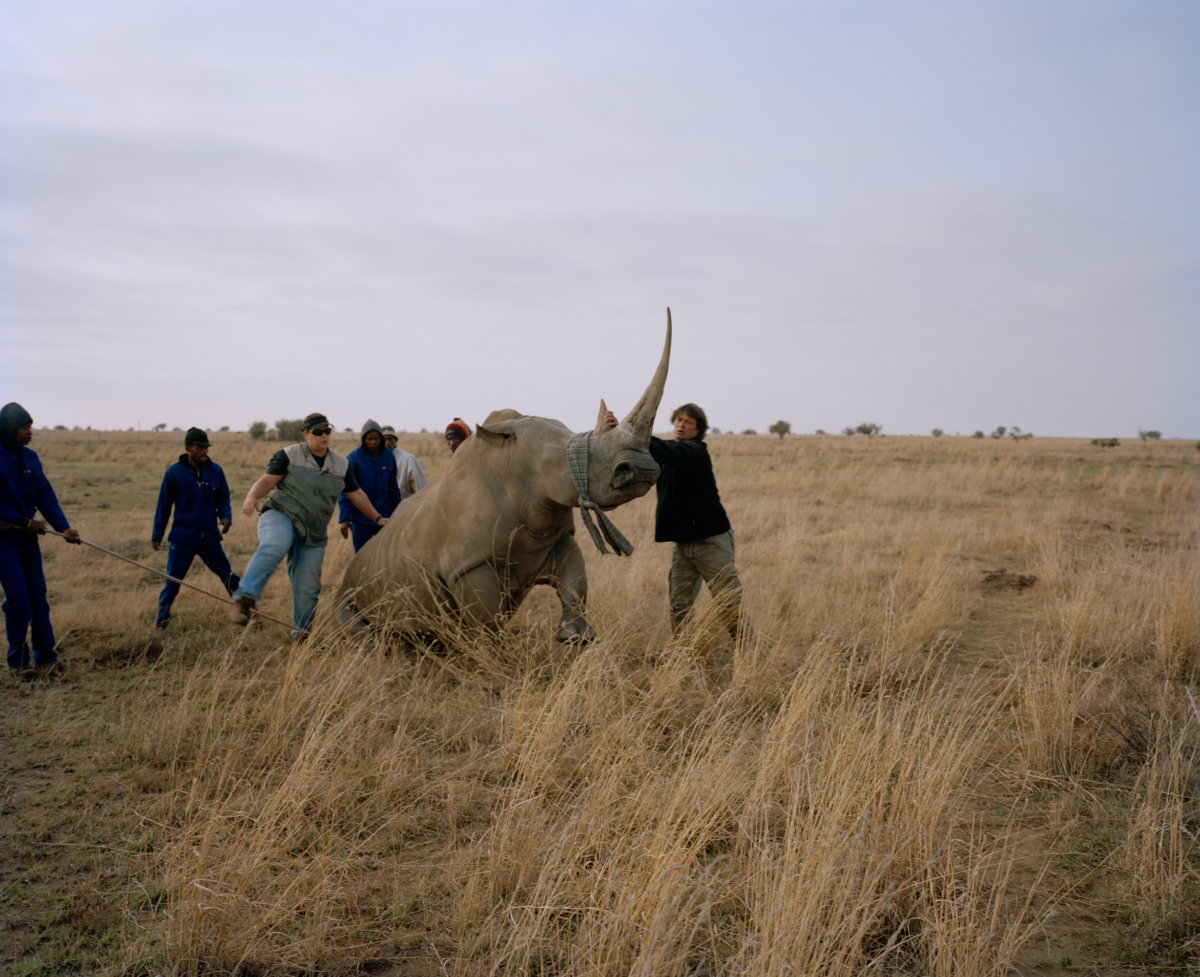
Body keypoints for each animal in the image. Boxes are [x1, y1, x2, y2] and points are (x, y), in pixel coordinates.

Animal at [336, 311, 672, 644]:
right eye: (559, 464)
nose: (643, 469)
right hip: (350, 587)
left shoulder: (552, 532)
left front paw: (575, 638)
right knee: (351, 616)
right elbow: (486, 619)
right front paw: (494, 650)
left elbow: (575, 581)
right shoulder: (468, 563)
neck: (516, 468)